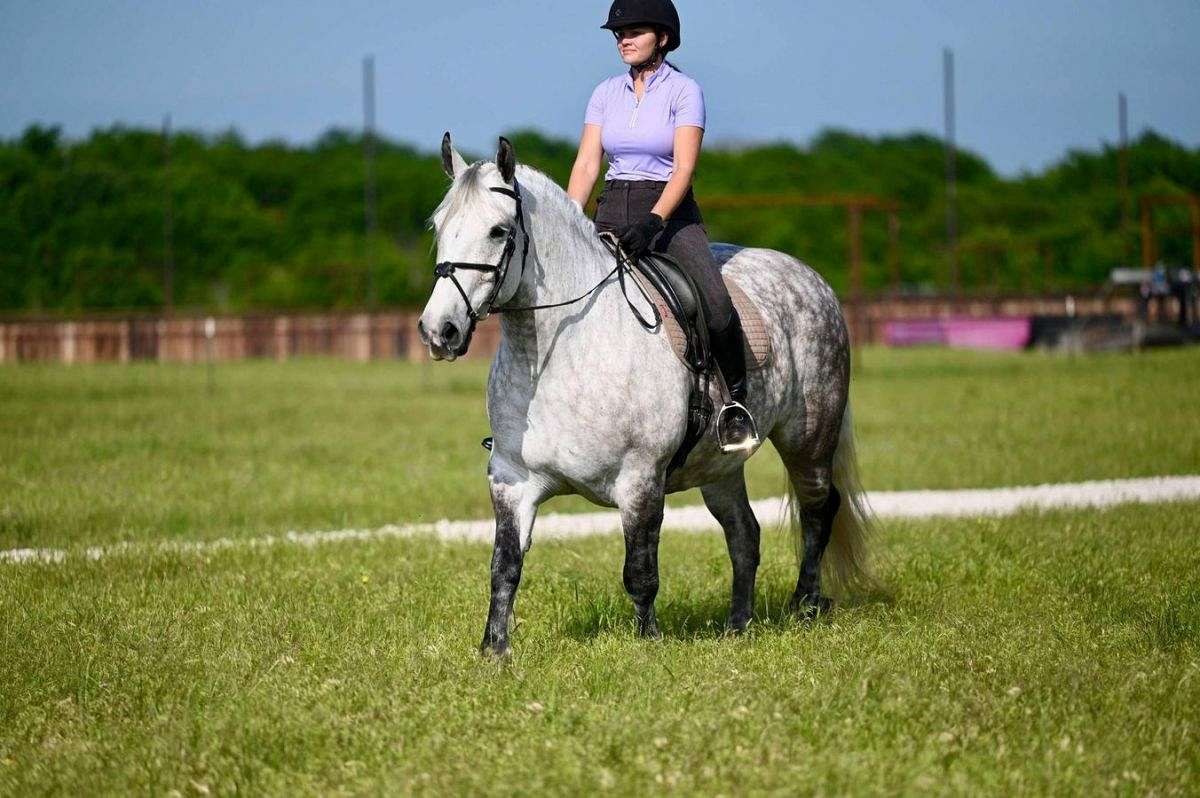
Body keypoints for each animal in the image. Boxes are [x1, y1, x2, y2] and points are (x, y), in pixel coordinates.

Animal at [418, 134, 873, 656]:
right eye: (439, 226)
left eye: (497, 231)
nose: (439, 331)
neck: (562, 352)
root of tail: (810, 277)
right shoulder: (512, 481)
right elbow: (504, 567)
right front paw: (494, 651)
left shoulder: (640, 480)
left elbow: (640, 571)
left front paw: (648, 643)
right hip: (719, 466)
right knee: (745, 534)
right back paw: (739, 624)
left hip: (808, 439)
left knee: (818, 508)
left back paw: (806, 605)